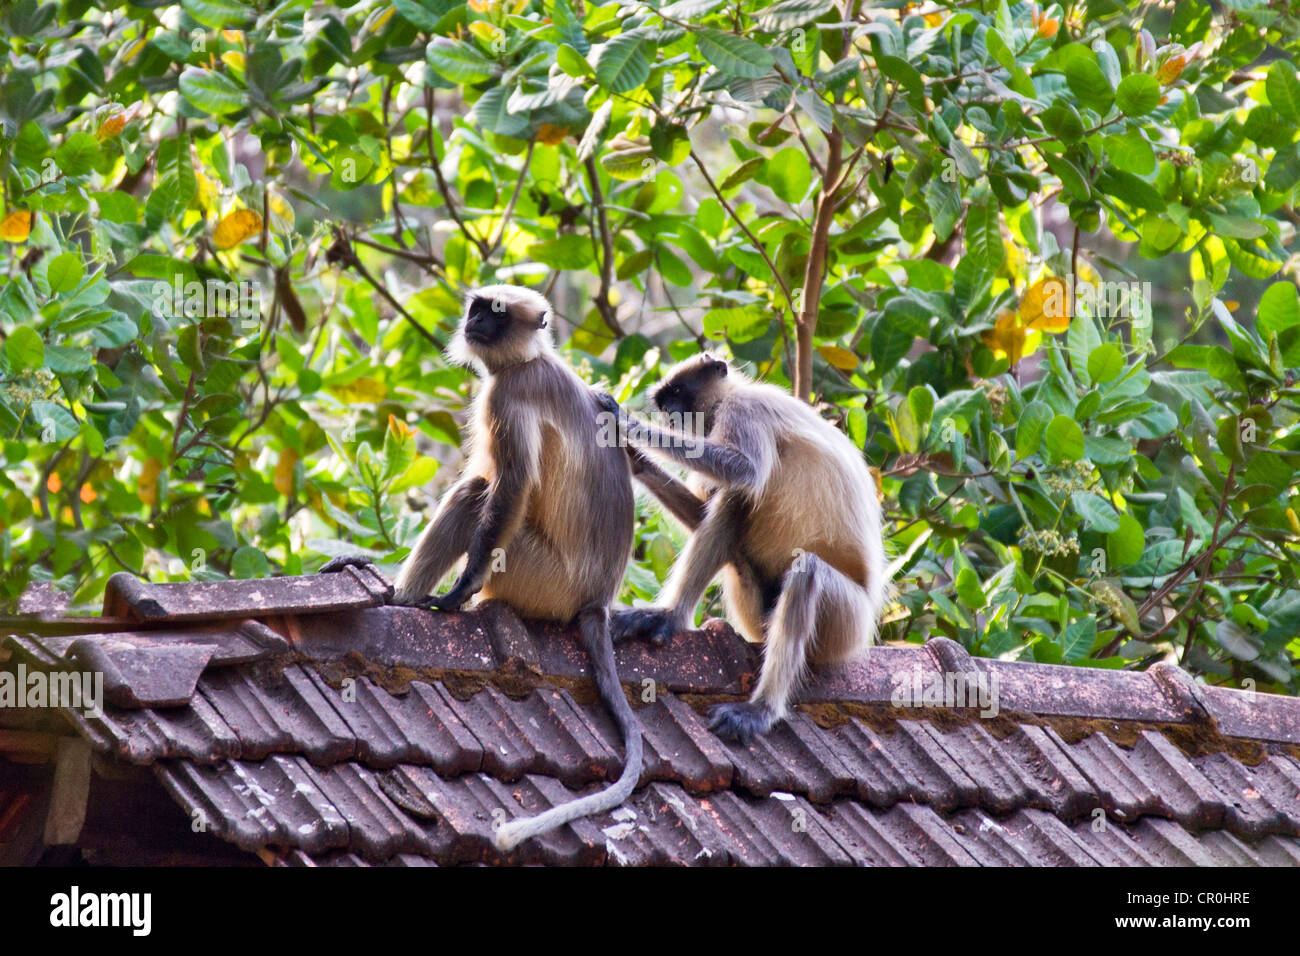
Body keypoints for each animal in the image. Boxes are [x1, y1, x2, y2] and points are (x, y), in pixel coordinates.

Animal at [324, 285, 640, 852]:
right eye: (478, 309)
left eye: (495, 315)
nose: (475, 324)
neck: (531, 360)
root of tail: (598, 599)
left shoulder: (507, 395)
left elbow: (510, 486)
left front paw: (457, 591)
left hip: (538, 577)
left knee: (478, 493)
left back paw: (402, 600)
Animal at [597, 353, 888, 744]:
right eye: (665, 401)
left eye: (678, 393)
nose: (671, 415)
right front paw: (633, 457)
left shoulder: (744, 411)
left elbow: (744, 470)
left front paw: (624, 422)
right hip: (756, 606)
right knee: (734, 504)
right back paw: (668, 617)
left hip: (847, 623)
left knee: (805, 568)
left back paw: (760, 710)